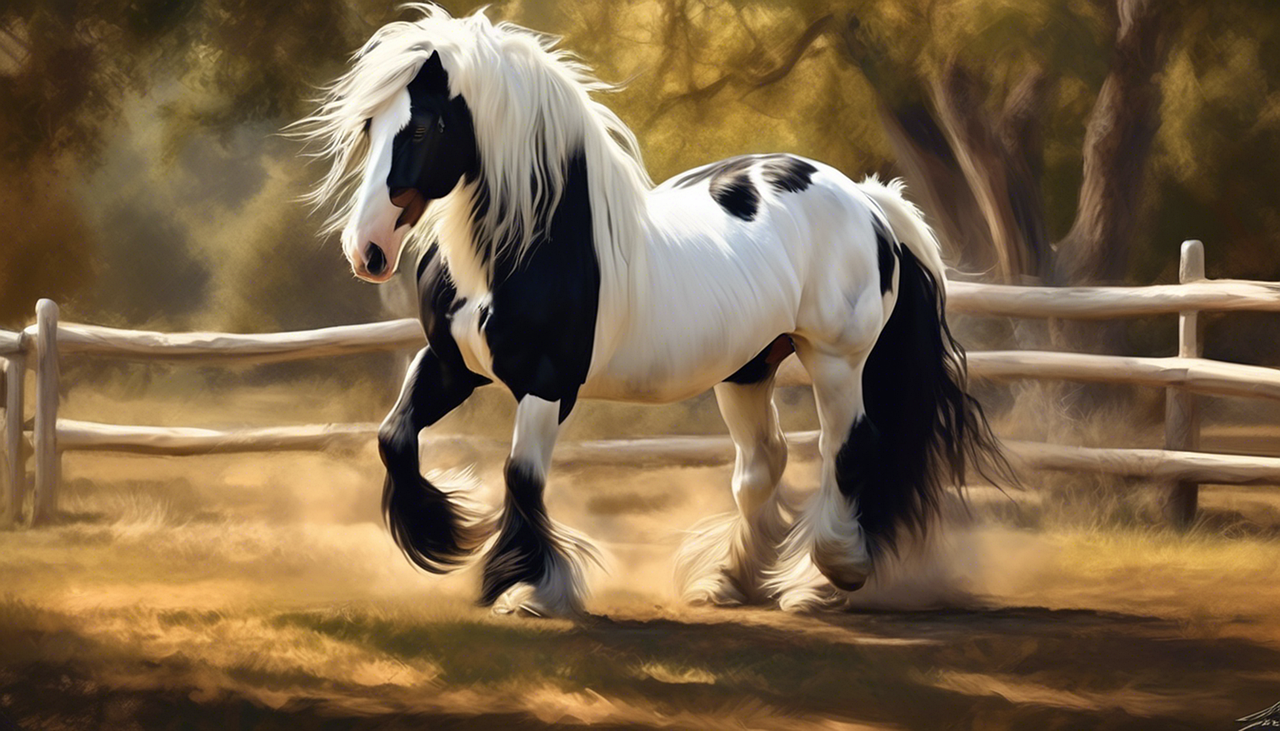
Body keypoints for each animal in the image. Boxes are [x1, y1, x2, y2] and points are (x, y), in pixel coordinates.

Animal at [295, 5, 1009, 616]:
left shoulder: (548, 384)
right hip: (748, 368)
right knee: (763, 466)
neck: (523, 247)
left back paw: (825, 578)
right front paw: (445, 536)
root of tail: (865, 199)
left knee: (849, 450)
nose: (366, 250)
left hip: (835, 359)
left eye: (421, 127)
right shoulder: (452, 364)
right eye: (370, 128)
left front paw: (526, 587)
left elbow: (522, 476)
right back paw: (729, 582)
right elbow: (394, 438)